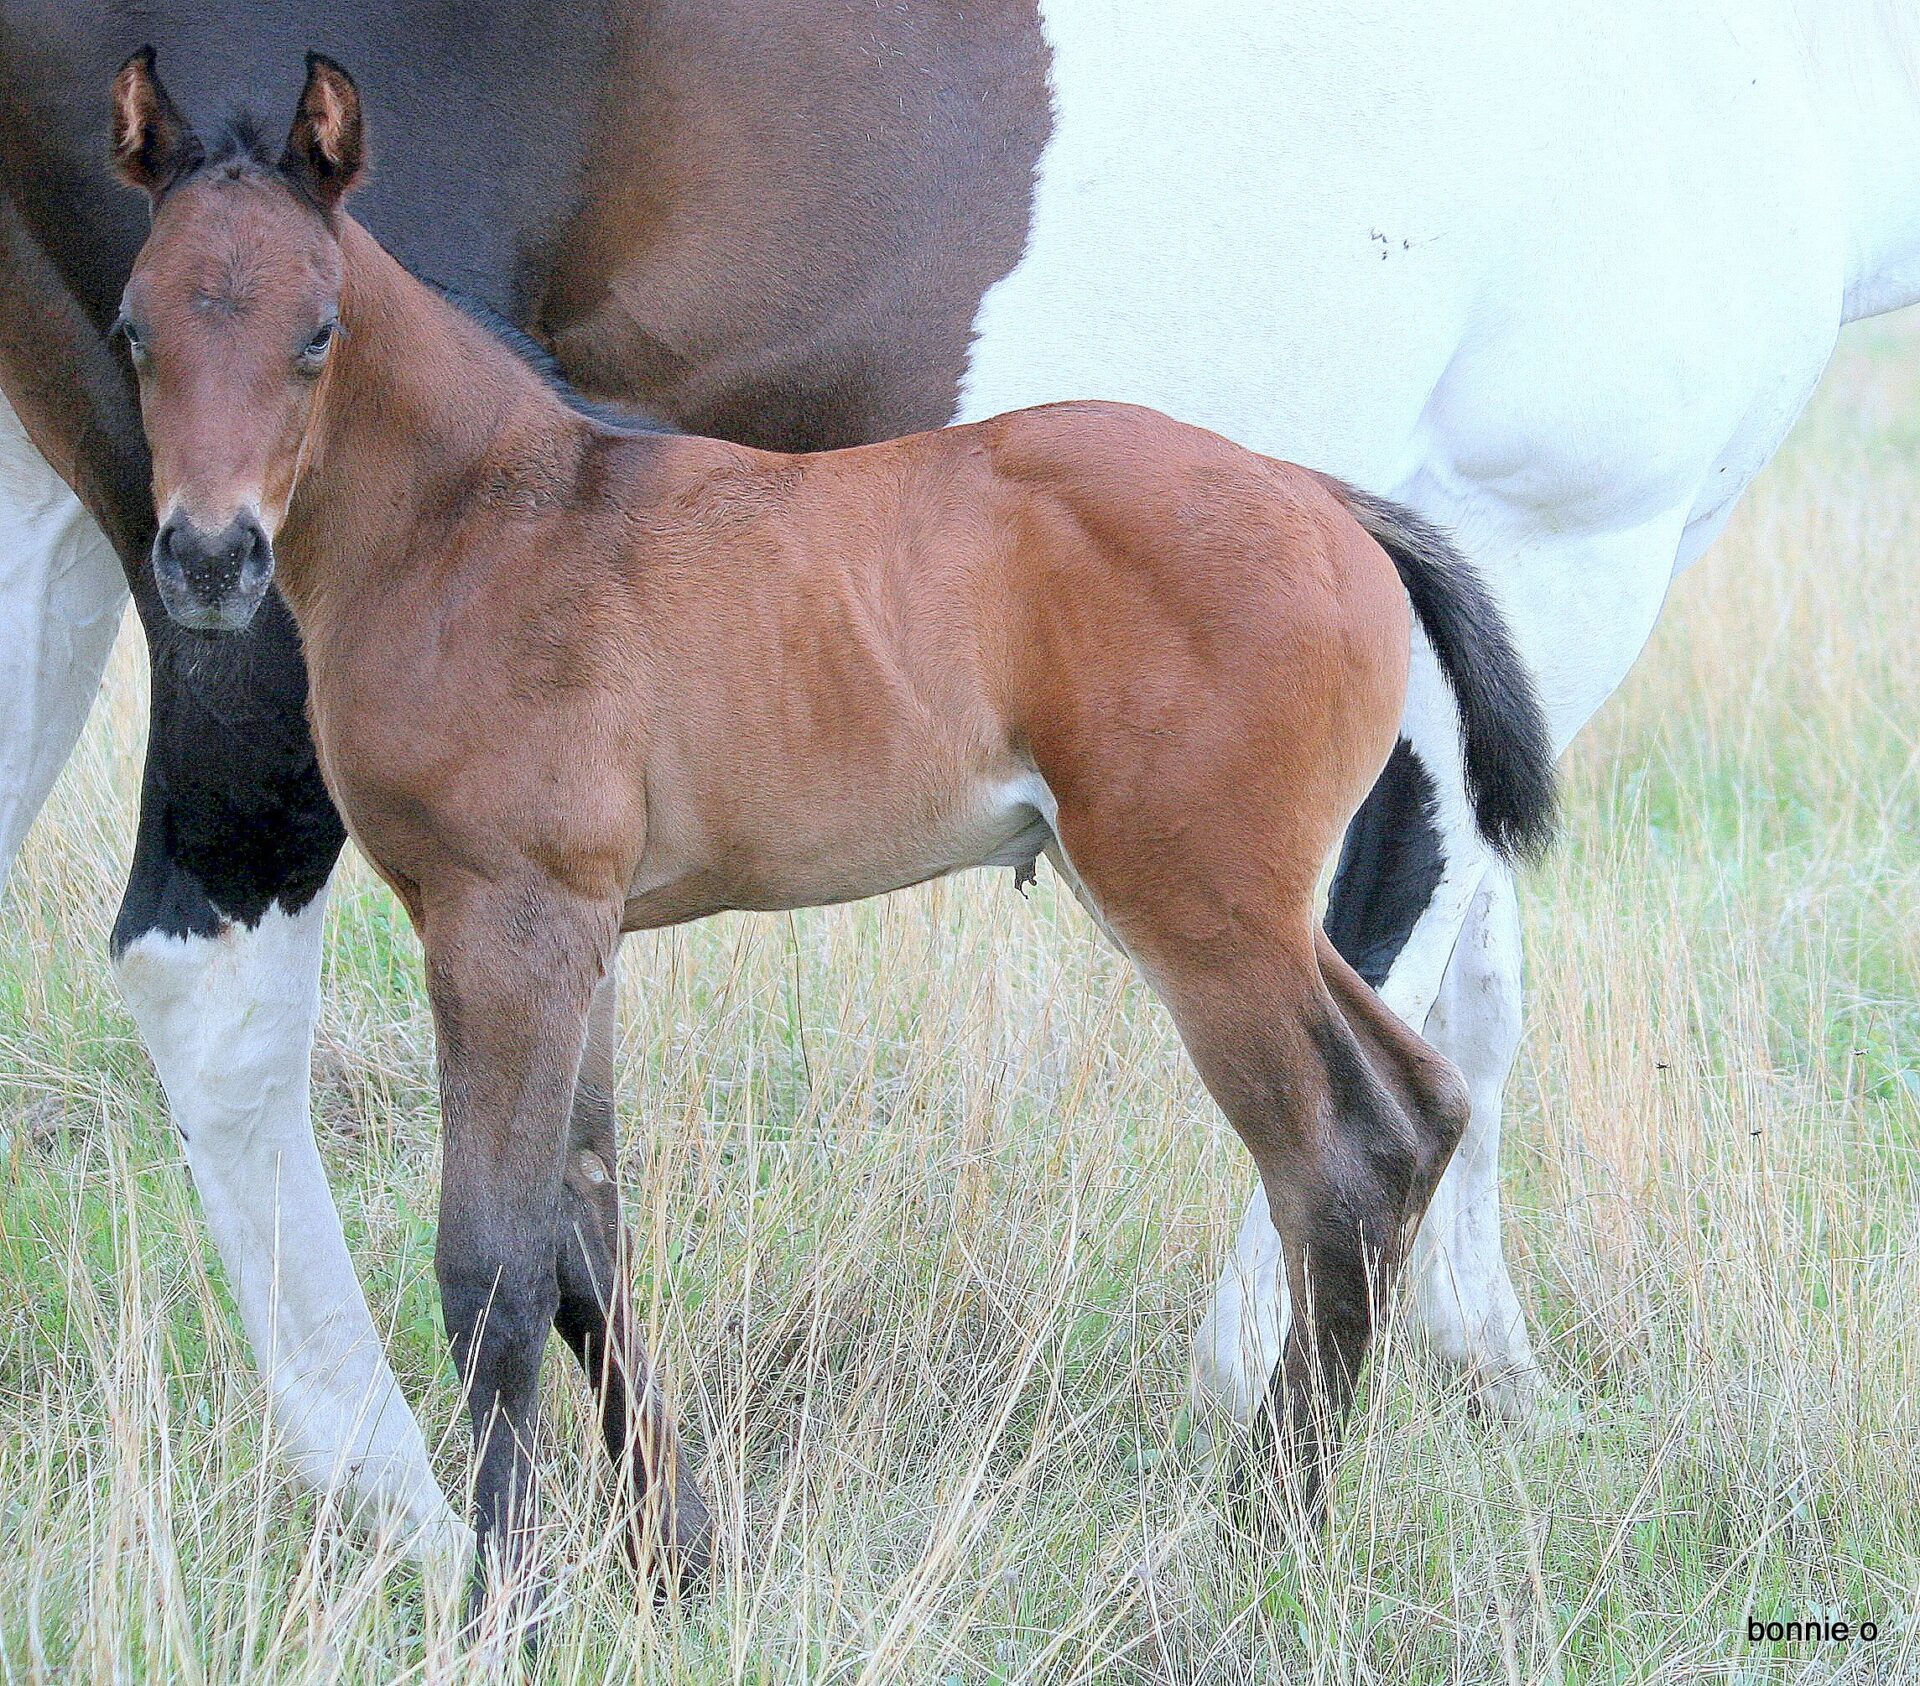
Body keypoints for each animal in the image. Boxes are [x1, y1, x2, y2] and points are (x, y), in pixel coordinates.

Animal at [5, 0, 1918, 1564]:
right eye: (139, 327)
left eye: (319, 334)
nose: (208, 559)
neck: (500, 512)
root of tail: (1322, 499)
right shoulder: (566, 930)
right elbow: (580, 1238)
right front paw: (671, 1563)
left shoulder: (514, 921)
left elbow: (497, 1265)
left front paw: (512, 1602)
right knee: (1411, 1107)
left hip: (1203, 910)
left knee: (1349, 1144)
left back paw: (1264, 1524)